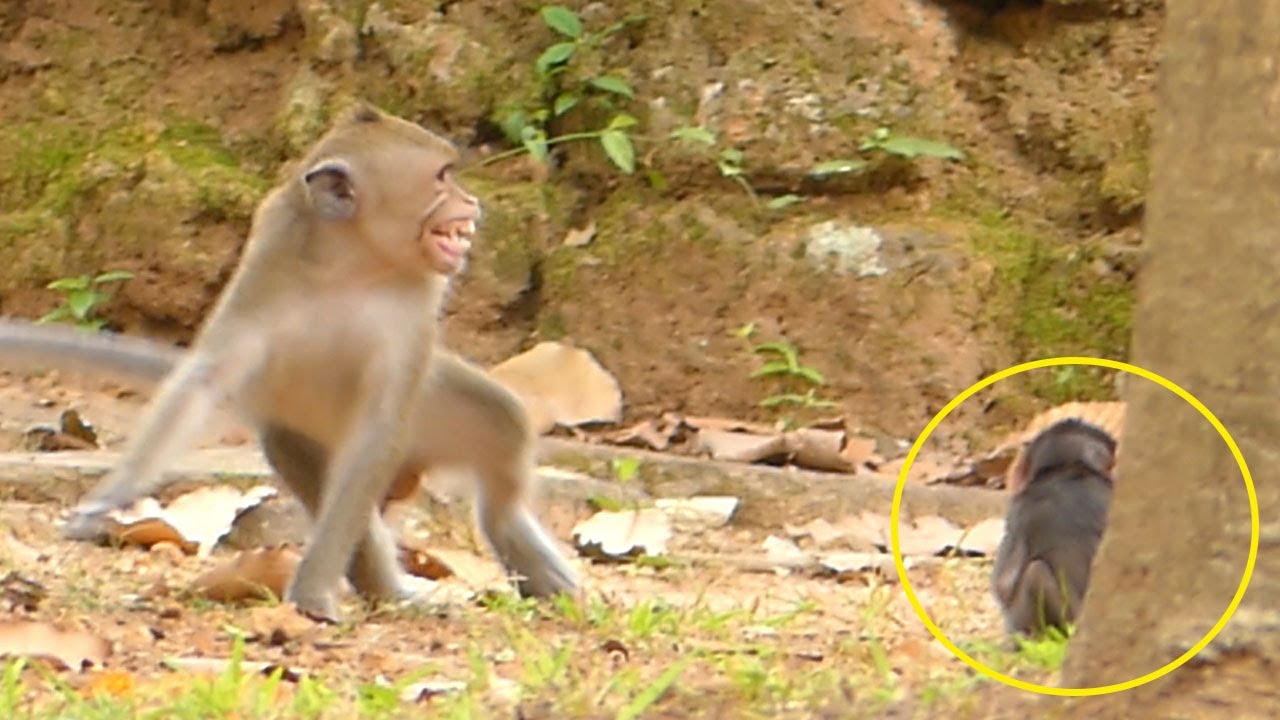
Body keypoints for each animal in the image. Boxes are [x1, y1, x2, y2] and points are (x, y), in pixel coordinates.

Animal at [1, 106, 577, 620]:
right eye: (442, 177)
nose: (470, 203)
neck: (355, 263)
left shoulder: (418, 302)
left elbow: (376, 431)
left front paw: (314, 592)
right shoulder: (269, 257)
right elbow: (205, 380)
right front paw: (112, 497)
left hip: (436, 412)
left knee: (497, 436)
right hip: (298, 431)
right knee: (320, 476)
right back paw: (387, 592)